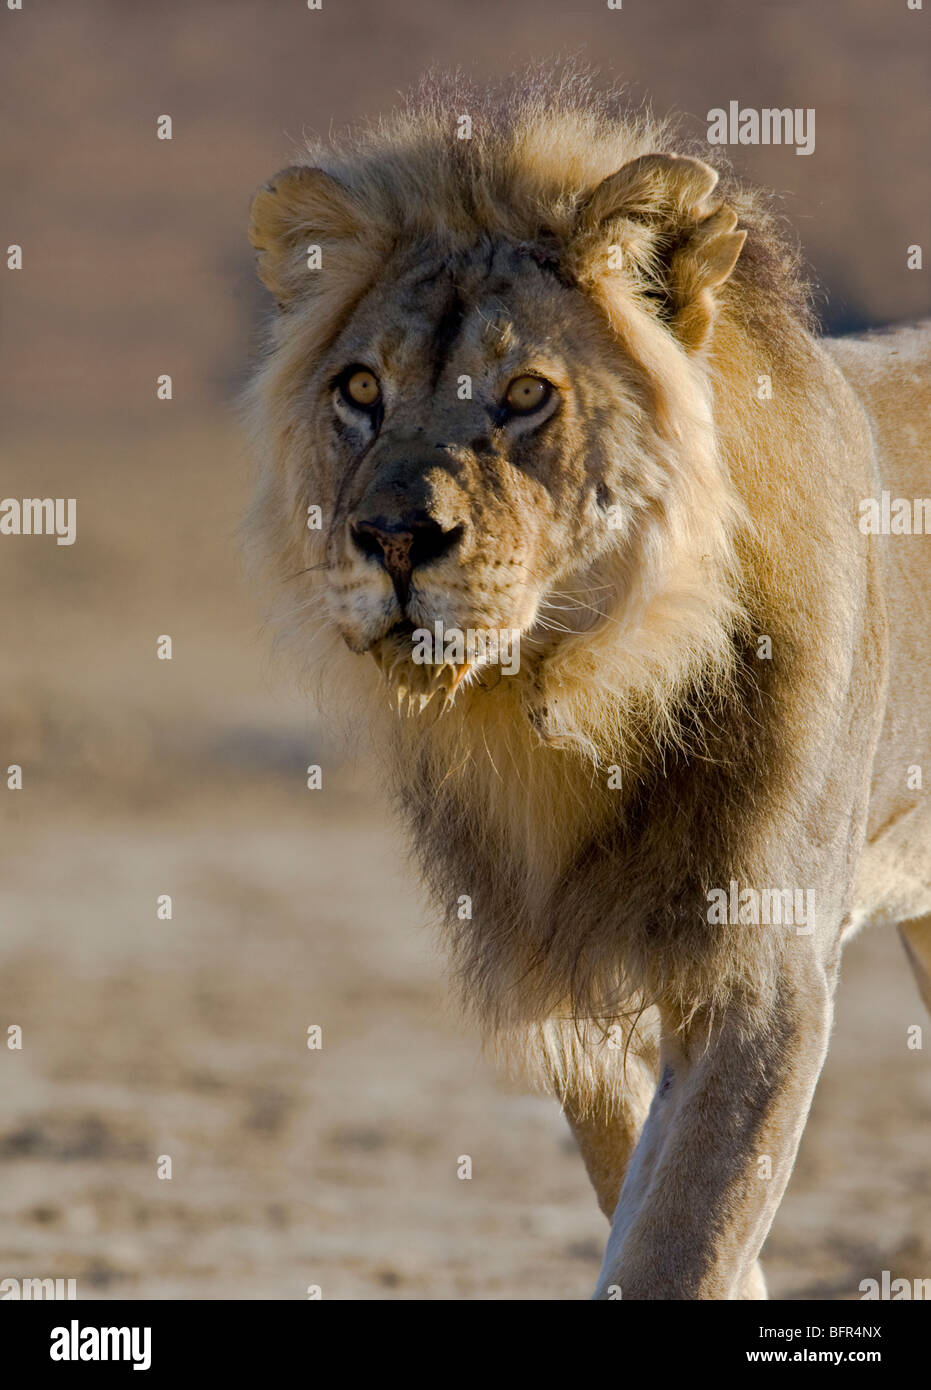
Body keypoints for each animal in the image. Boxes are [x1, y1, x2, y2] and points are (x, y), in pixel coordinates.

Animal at [244, 71, 931, 1300]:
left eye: (525, 395)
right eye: (360, 388)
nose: (392, 536)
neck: (569, 702)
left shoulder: (763, 974)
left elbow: (683, 1232)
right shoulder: (572, 985)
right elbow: (656, 1213)